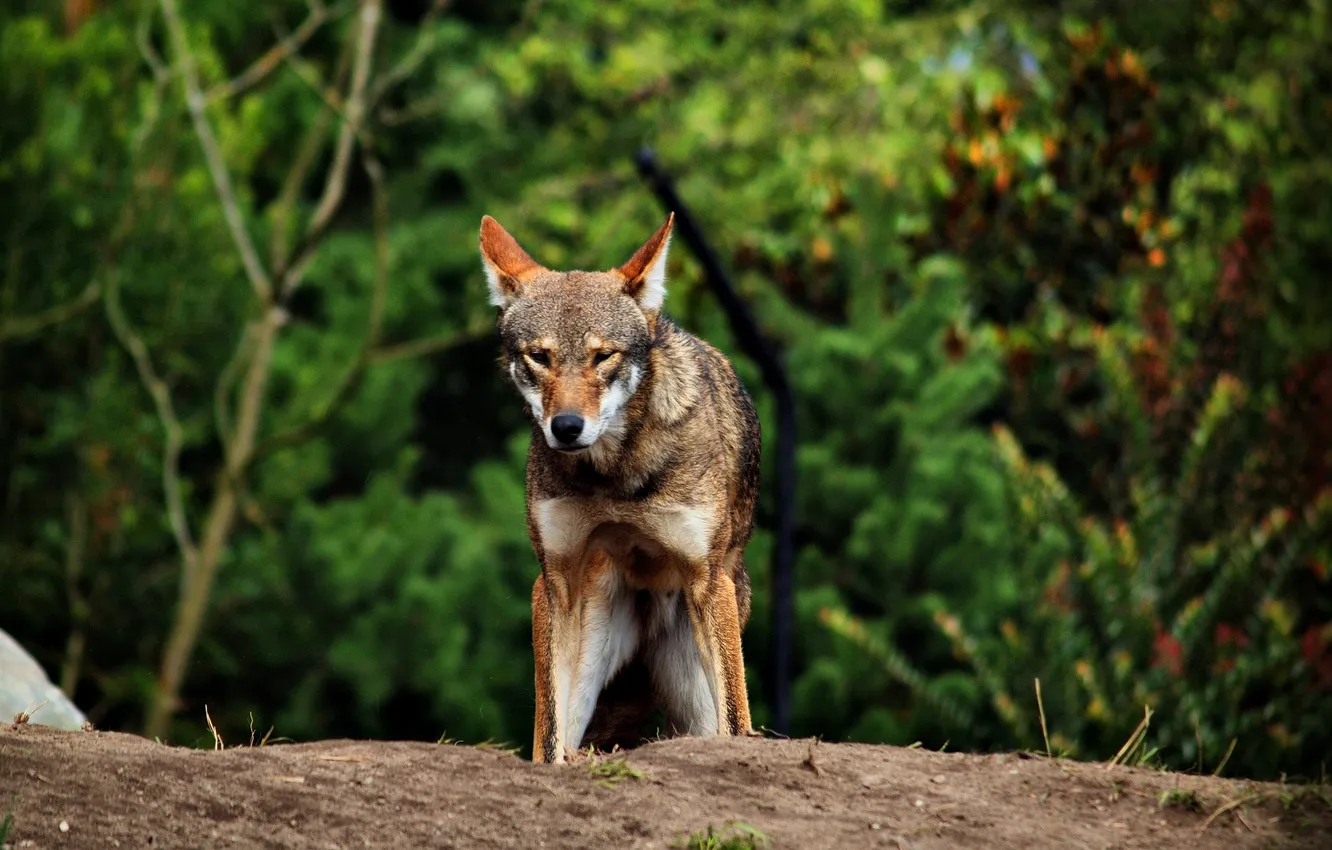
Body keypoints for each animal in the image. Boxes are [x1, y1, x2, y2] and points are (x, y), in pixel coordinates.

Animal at [479, 212, 761, 764]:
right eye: (539, 357)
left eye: (602, 356)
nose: (566, 427)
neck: (615, 476)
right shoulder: (554, 580)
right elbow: (548, 740)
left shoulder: (707, 578)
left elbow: (738, 725)